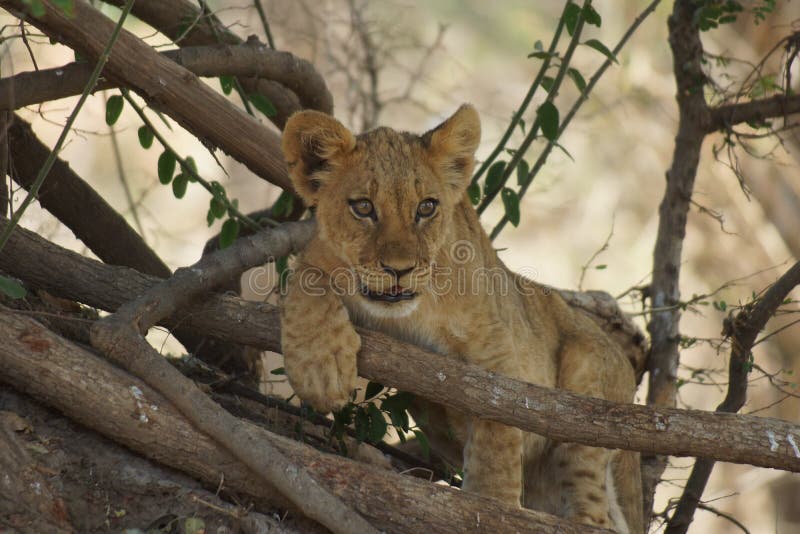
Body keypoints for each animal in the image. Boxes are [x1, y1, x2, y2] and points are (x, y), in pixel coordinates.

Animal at [279, 104, 642, 533]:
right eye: (363, 207)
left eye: (426, 207)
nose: (399, 269)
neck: (405, 315)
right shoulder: (315, 258)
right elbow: (305, 286)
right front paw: (319, 371)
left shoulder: (495, 349)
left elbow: (495, 432)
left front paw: (490, 507)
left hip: (586, 384)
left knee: (596, 510)